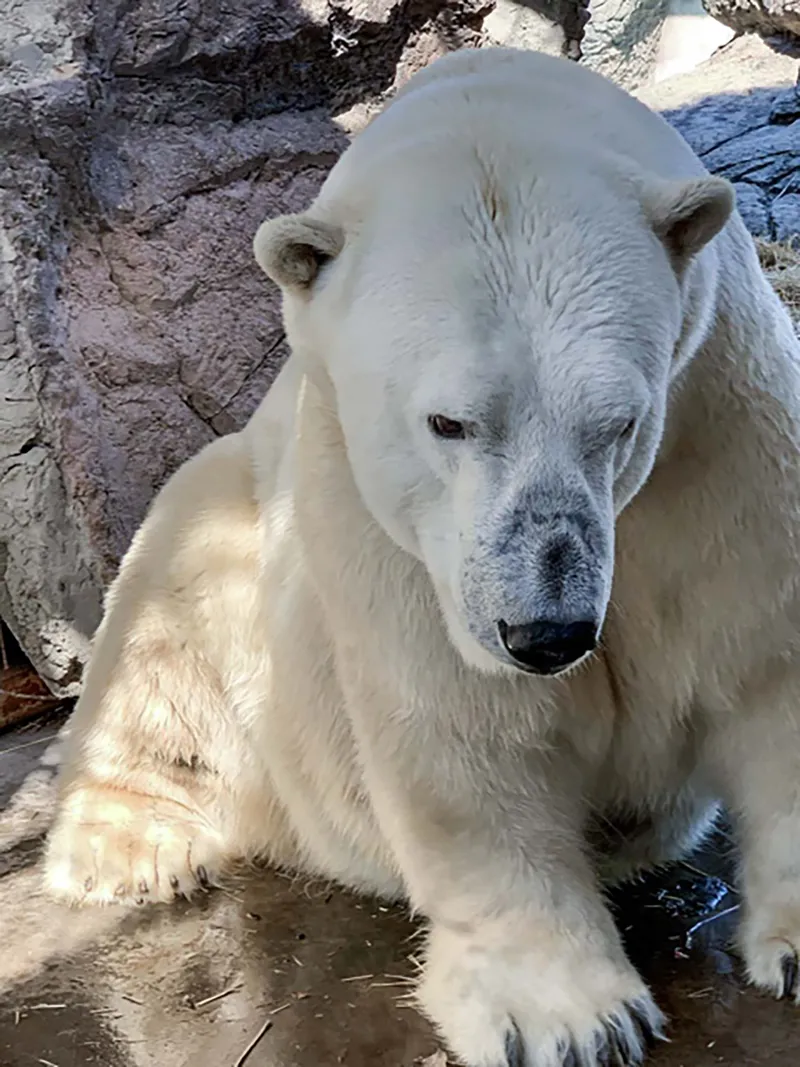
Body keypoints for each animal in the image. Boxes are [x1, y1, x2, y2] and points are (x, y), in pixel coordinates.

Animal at [43, 45, 800, 1067]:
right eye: (448, 422)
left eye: (620, 422)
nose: (548, 632)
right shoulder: (381, 521)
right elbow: (462, 731)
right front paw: (564, 1018)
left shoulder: (721, 426)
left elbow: (766, 657)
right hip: (233, 533)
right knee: (159, 620)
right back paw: (132, 848)